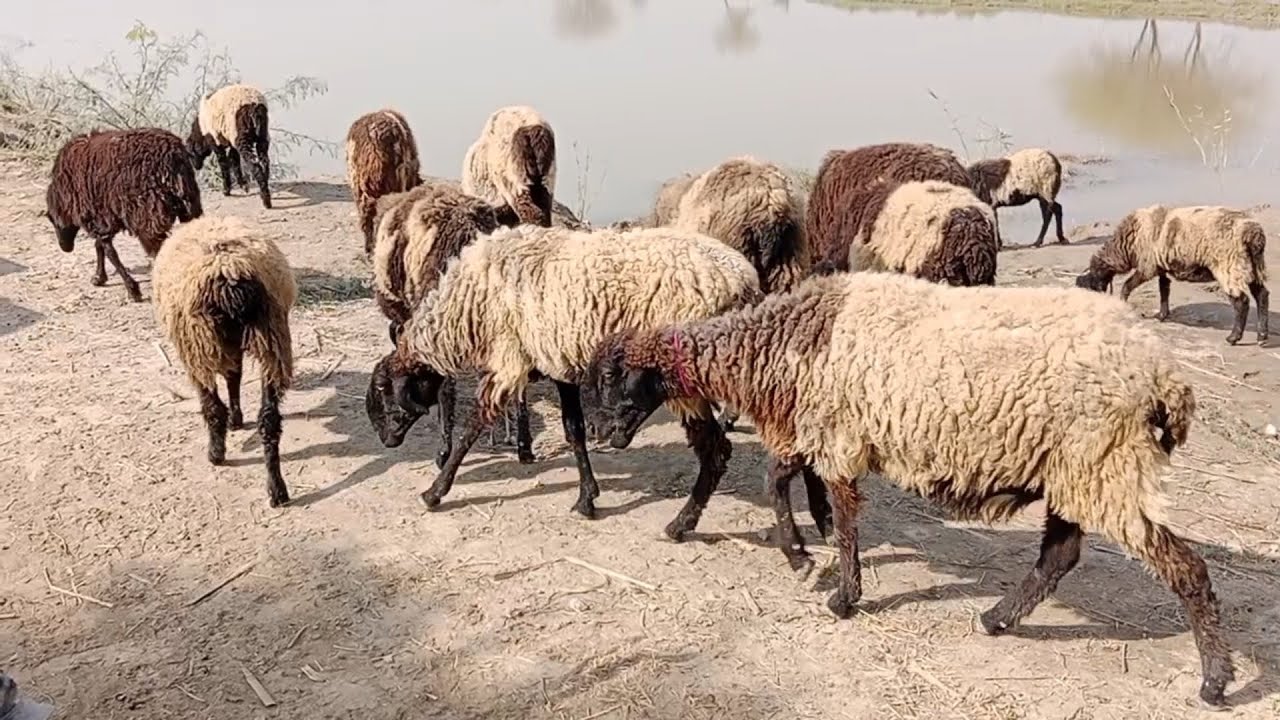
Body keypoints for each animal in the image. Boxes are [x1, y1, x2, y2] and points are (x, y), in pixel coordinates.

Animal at [44, 127, 204, 302]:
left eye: (54, 222)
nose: (65, 248)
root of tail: (172, 156)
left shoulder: (97, 216)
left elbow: (109, 251)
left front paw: (132, 289)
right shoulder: (104, 217)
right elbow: (100, 246)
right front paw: (100, 277)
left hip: (148, 216)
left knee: (159, 250)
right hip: (189, 205)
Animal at [152, 215, 297, 507]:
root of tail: (228, 273)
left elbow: (222, 390)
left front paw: (229, 426)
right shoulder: (233, 344)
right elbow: (234, 376)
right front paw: (237, 418)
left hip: (197, 343)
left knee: (212, 406)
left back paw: (216, 454)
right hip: (272, 338)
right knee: (269, 419)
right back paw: (277, 489)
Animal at [364, 222, 764, 537]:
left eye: (383, 389)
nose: (386, 441)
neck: (465, 308)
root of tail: (745, 283)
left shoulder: (507, 359)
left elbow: (472, 428)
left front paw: (435, 492)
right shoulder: (558, 361)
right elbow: (574, 431)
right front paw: (587, 498)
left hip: (685, 373)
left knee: (715, 449)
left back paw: (680, 523)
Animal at [580, 271, 1234, 708]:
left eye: (613, 379)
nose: (602, 434)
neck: (782, 342)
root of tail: (1165, 379)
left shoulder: (836, 432)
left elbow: (837, 516)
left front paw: (839, 593)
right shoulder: (818, 429)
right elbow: (783, 480)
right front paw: (800, 552)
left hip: (1106, 464)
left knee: (1184, 568)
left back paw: (1215, 679)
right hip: (1073, 467)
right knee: (1060, 554)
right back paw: (996, 618)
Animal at [1076, 204, 1269, 346]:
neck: (1126, 243)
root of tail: (1254, 234)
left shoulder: (1147, 266)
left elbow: (1127, 285)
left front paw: (1123, 304)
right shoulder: (1161, 266)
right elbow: (1164, 289)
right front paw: (1162, 315)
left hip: (1230, 265)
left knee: (1241, 302)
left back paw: (1234, 337)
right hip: (1252, 266)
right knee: (1262, 295)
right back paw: (1262, 336)